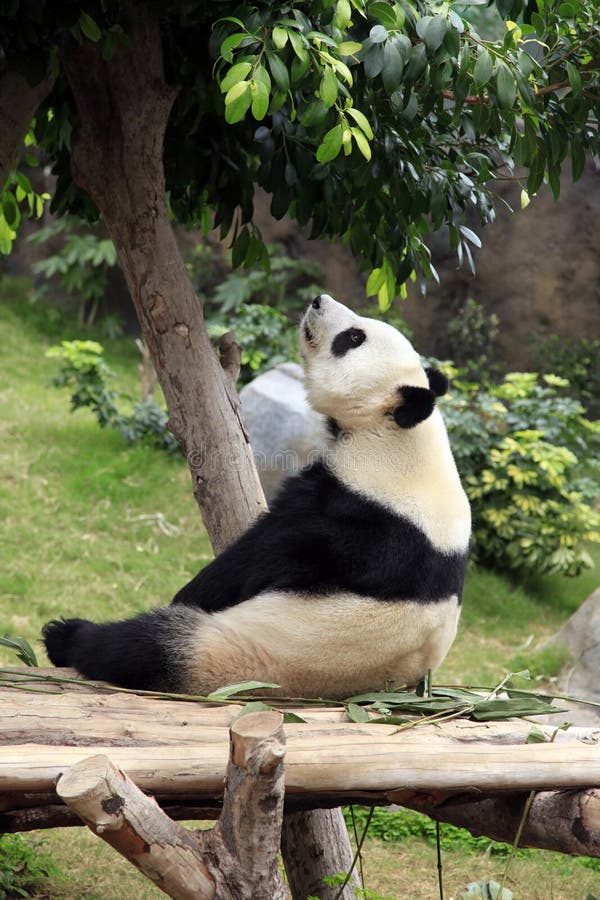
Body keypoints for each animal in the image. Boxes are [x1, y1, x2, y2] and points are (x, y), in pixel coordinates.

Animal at [43, 294, 471, 700]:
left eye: (353, 338)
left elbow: (256, 559)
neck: (397, 438)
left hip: (232, 649)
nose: (318, 300)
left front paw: (190, 591)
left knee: (143, 645)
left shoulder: (355, 514)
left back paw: (65, 636)